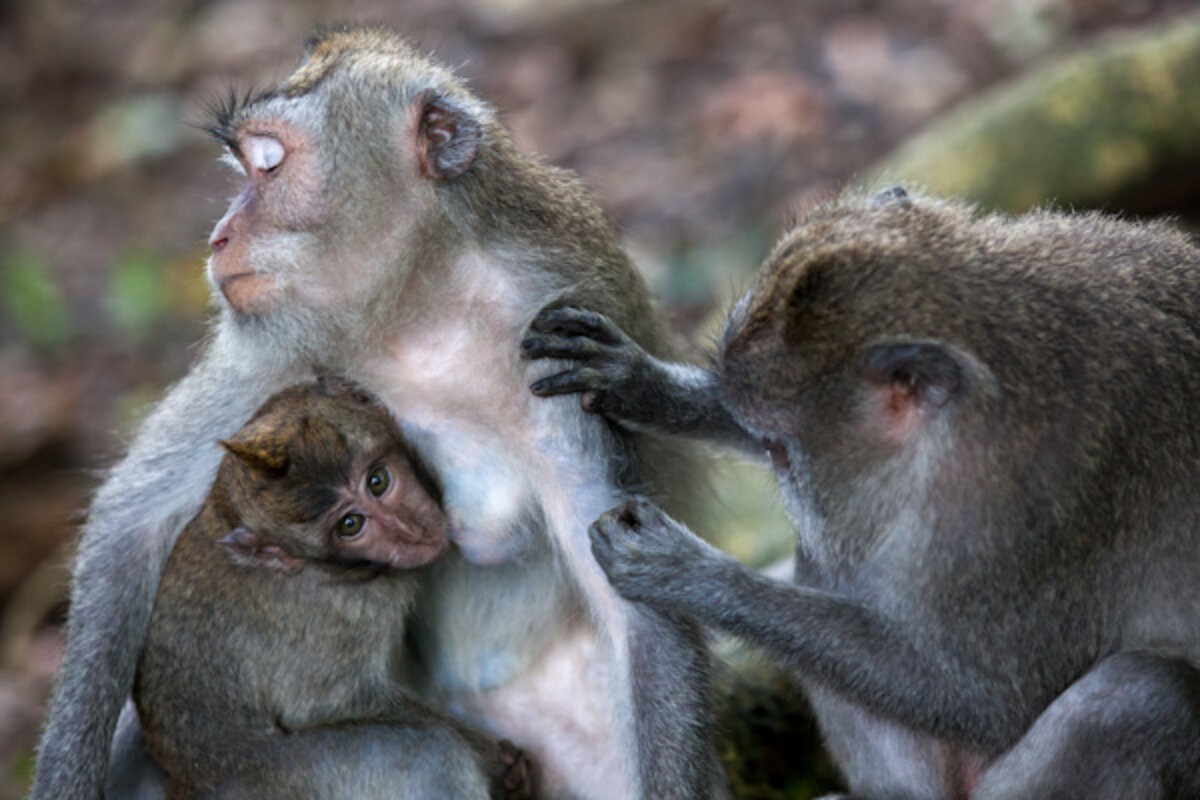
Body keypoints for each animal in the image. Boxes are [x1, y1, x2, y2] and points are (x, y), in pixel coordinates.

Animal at [131, 379, 532, 799]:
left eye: (377, 481)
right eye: (350, 525)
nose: (412, 531)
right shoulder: (343, 614)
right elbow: (323, 705)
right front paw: (497, 761)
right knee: (434, 753)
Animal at [521, 187, 1200, 799]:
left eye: (780, 451)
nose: (791, 481)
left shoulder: (1018, 515)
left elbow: (994, 701)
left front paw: (688, 574)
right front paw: (640, 382)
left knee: (1142, 695)